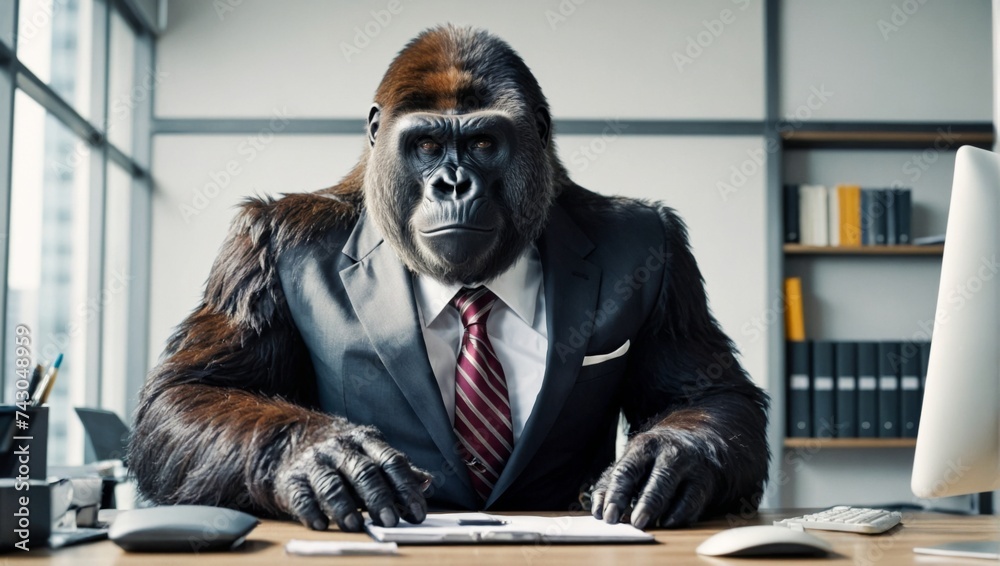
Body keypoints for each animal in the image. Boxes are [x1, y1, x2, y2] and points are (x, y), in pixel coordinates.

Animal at [129, 25, 769, 533]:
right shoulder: (255, 249)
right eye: (428, 144)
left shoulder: (666, 256)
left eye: (484, 142)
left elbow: (705, 393)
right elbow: (192, 389)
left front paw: (668, 461)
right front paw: (318, 455)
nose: (453, 184)